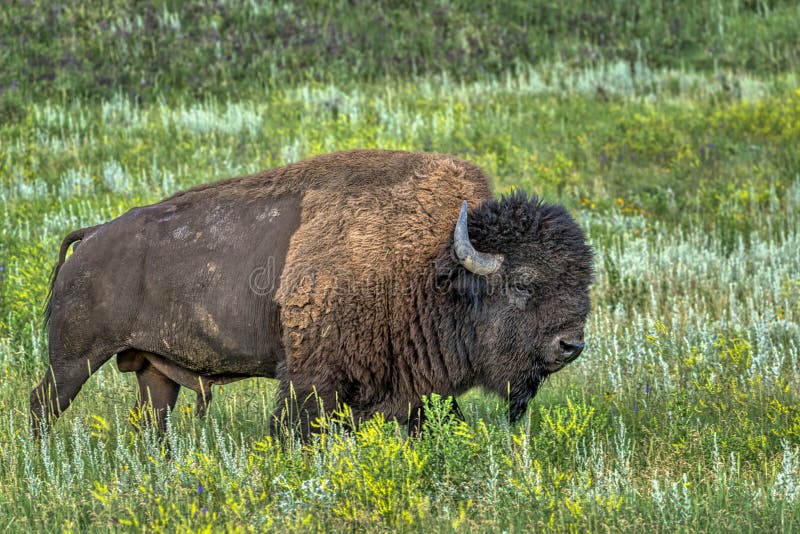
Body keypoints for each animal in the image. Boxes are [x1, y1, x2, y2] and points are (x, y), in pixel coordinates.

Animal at [31, 149, 593, 438]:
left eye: (582, 282)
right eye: (523, 284)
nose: (571, 344)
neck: (430, 263)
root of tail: (92, 236)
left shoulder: (417, 387)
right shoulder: (312, 379)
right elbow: (296, 427)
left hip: (153, 370)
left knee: (152, 418)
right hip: (74, 360)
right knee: (42, 403)